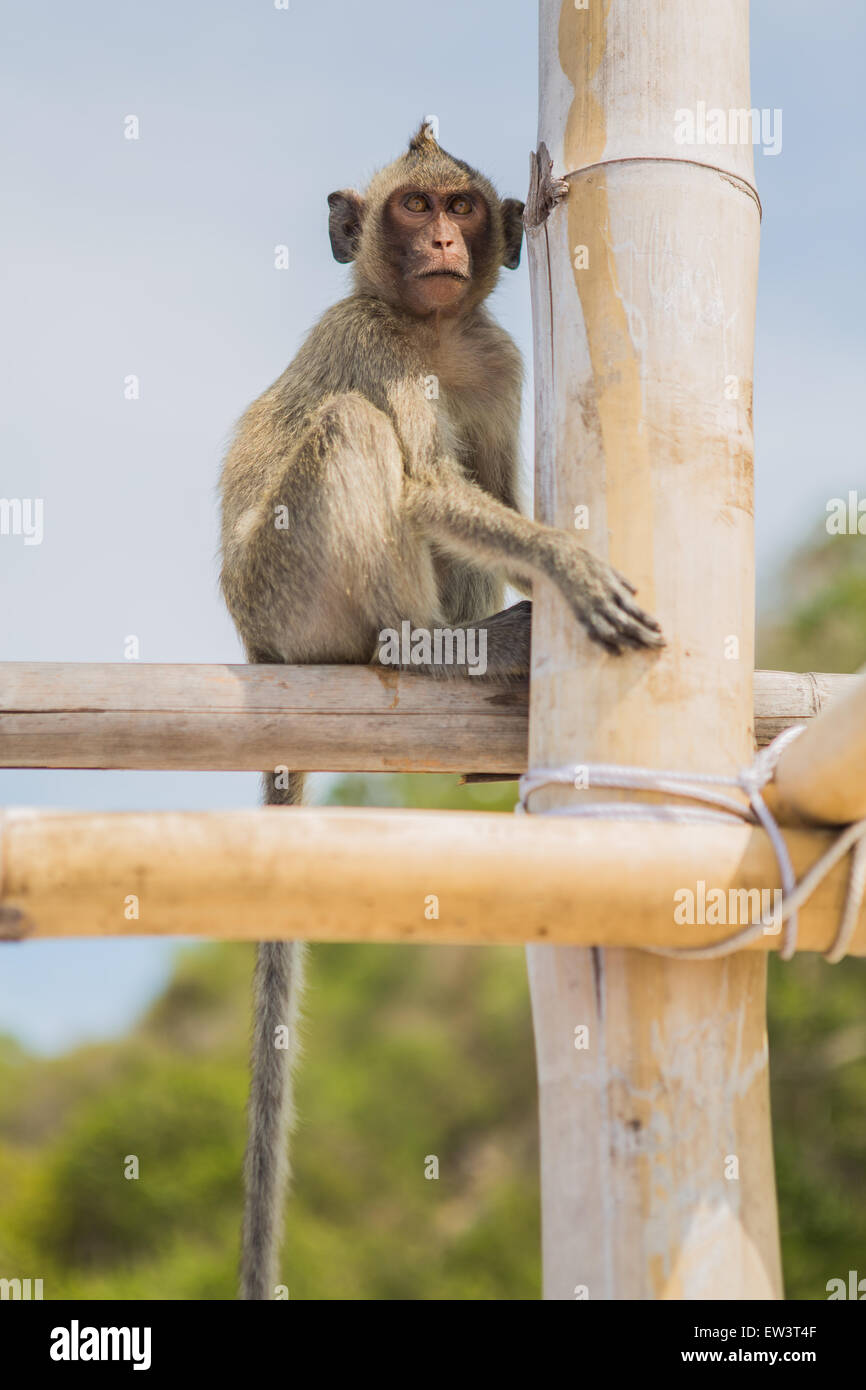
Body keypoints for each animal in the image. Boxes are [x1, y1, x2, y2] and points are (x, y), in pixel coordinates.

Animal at [219, 122, 663, 1300]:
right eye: (411, 206)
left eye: (458, 207)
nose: (441, 245)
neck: (433, 327)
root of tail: (249, 641)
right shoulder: (376, 338)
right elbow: (421, 480)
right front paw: (565, 565)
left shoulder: (495, 356)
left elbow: (491, 487)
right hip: (286, 595)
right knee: (352, 429)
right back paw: (424, 651)